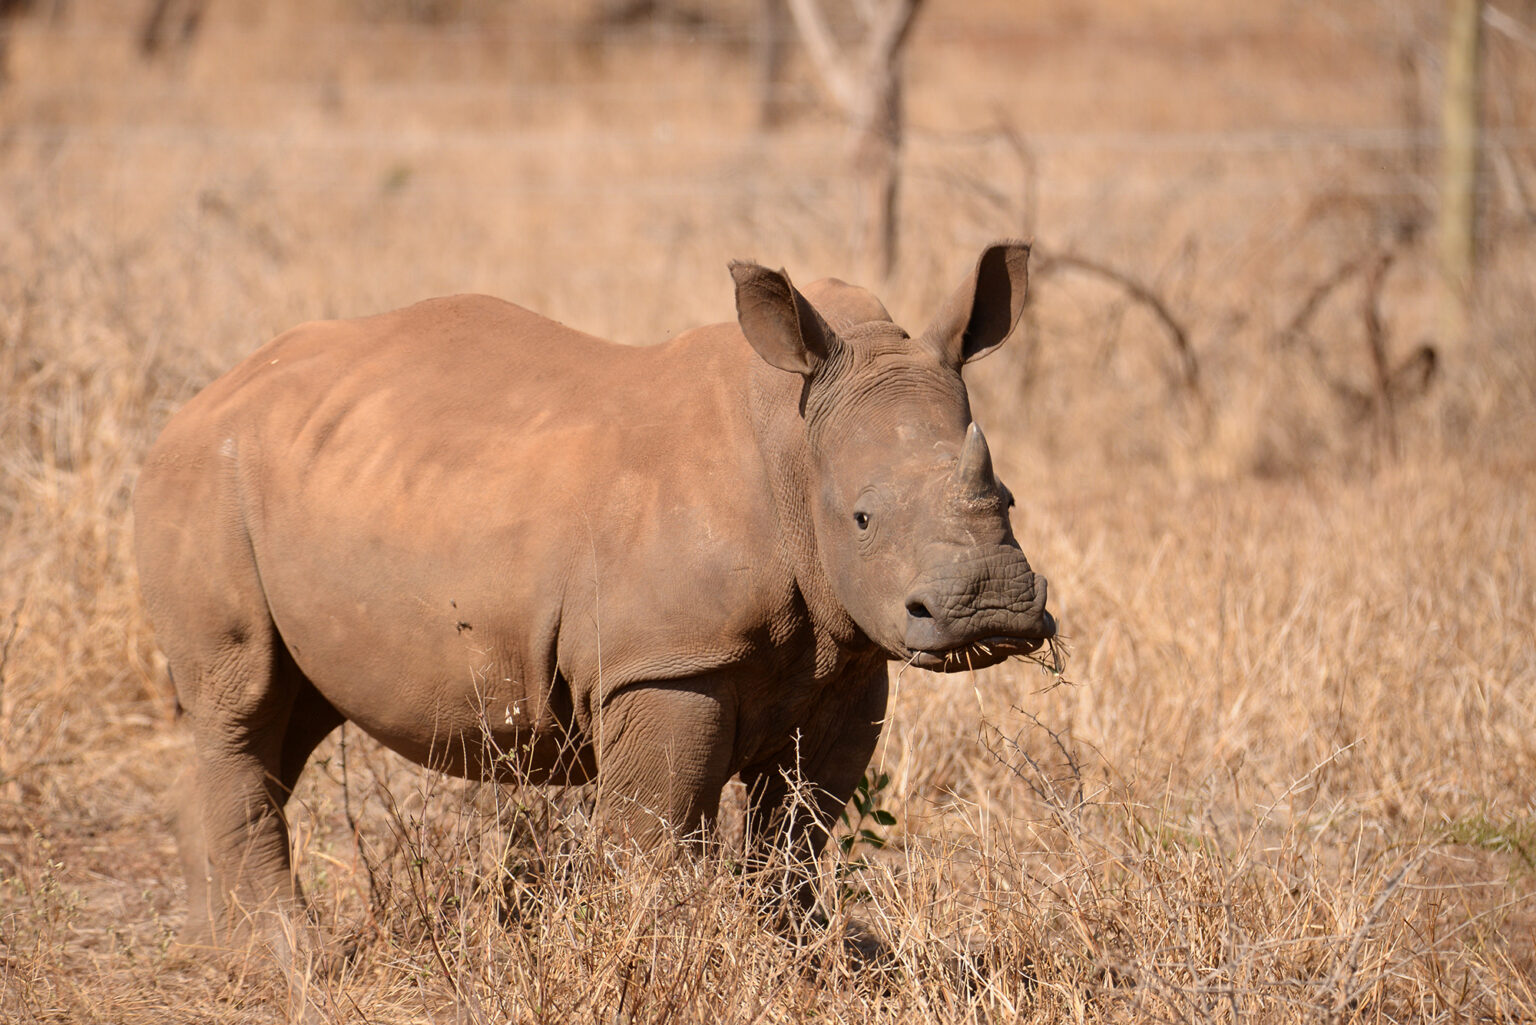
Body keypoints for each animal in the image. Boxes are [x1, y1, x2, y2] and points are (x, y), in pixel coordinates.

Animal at [134, 242, 1055, 945]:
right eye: (862, 517)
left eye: (1008, 498)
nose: (989, 606)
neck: (795, 446)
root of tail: (201, 398)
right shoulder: (665, 661)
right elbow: (656, 831)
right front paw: (666, 956)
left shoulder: (848, 659)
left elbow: (796, 835)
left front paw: (800, 962)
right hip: (207, 479)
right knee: (244, 701)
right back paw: (289, 958)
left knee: (290, 712)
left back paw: (215, 943)